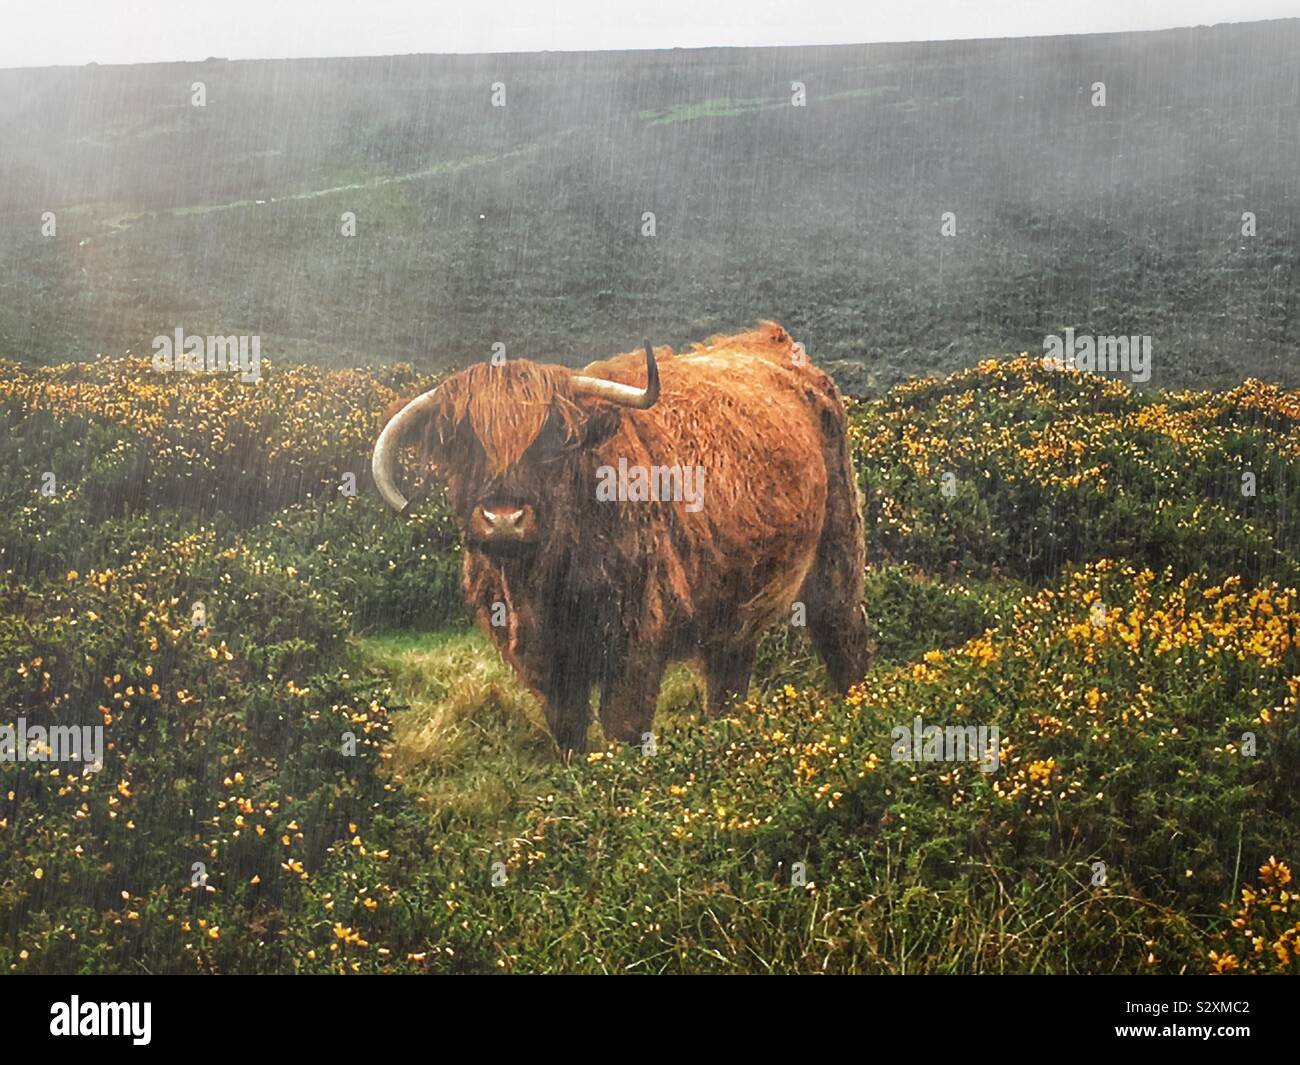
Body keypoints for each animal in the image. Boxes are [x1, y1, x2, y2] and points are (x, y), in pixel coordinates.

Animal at [372, 322, 868, 754]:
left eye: (550, 441)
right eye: (464, 444)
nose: (504, 518)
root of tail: (776, 342)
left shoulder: (636, 639)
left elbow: (622, 726)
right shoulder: (546, 663)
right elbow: (567, 728)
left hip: (838, 550)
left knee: (843, 635)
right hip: (735, 598)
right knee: (729, 674)